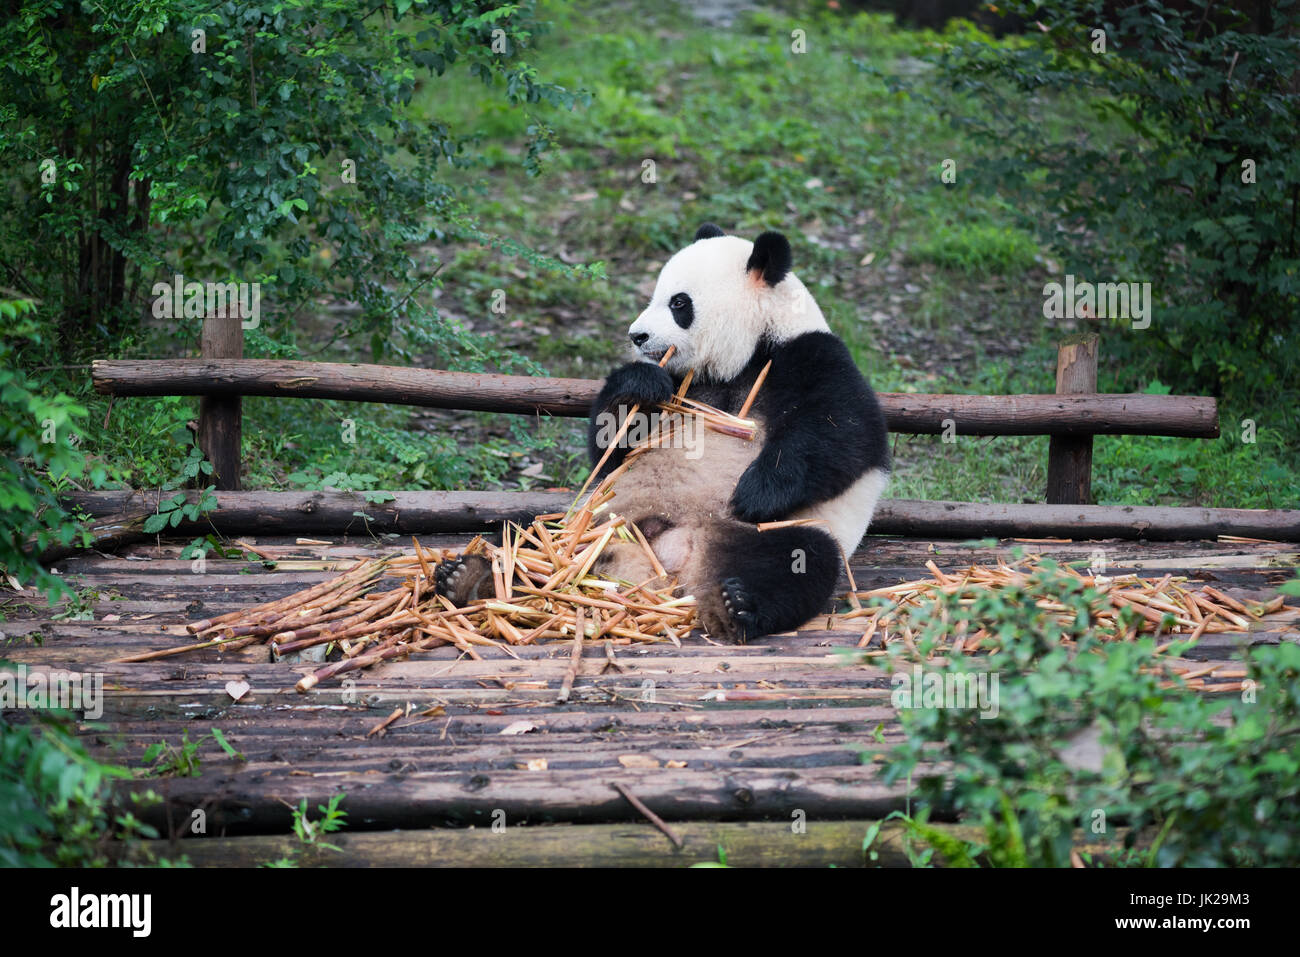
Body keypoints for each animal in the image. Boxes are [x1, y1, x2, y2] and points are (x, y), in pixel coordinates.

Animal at [437, 223, 890, 643]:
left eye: (679, 303)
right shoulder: (680, 383)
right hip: (592, 520)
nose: (637, 335)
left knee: (803, 559)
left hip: (781, 531)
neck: (746, 354)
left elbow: (844, 437)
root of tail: (671, 565)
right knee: (527, 534)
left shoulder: (810, 357)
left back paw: (737, 605)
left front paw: (755, 493)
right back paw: (470, 576)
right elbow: (613, 447)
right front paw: (638, 384)